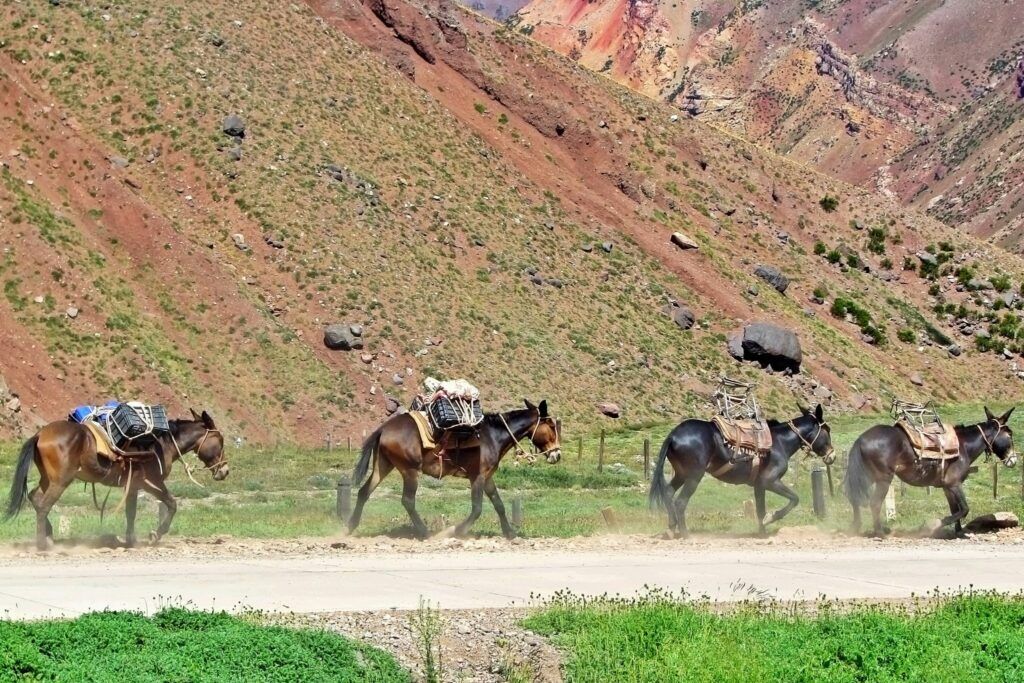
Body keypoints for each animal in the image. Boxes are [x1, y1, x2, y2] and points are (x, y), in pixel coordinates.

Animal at [4, 409, 229, 550]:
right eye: (220, 440)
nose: (225, 470)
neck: (159, 444)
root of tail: (41, 434)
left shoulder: (133, 486)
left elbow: (131, 513)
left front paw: (130, 540)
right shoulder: (151, 482)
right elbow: (172, 504)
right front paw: (155, 535)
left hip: (47, 479)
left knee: (35, 497)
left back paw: (49, 537)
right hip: (60, 481)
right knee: (43, 505)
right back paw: (43, 544)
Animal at [347, 399, 561, 539]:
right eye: (552, 425)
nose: (557, 455)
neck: (493, 435)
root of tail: (384, 428)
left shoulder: (488, 478)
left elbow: (499, 504)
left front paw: (509, 533)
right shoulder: (478, 477)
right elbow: (477, 508)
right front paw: (457, 531)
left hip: (383, 465)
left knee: (364, 492)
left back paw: (350, 526)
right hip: (410, 471)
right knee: (407, 501)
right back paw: (425, 533)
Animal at [648, 404, 834, 537]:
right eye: (827, 430)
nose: (832, 455)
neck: (781, 442)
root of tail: (673, 435)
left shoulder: (759, 485)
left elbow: (760, 510)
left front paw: (762, 533)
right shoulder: (770, 481)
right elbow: (794, 499)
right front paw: (771, 519)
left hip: (681, 474)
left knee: (668, 492)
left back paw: (671, 529)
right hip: (694, 476)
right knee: (680, 502)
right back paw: (685, 534)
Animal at [845, 407, 1017, 537]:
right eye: (1010, 434)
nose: (1013, 460)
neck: (963, 446)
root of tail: (861, 439)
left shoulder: (947, 487)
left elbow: (956, 509)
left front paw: (959, 532)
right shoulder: (954, 484)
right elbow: (964, 509)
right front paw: (934, 525)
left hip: (868, 477)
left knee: (855, 500)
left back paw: (856, 528)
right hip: (883, 479)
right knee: (874, 503)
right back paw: (880, 533)